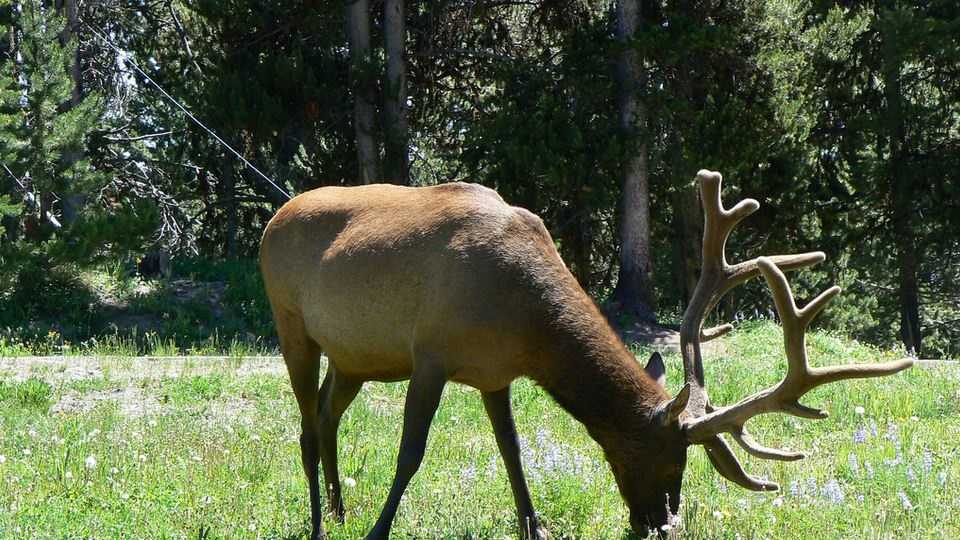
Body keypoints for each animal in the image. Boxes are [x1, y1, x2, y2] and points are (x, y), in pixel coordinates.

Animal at [258, 170, 913, 540]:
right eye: (670, 461)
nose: (660, 524)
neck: (525, 317)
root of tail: (272, 218)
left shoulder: (493, 374)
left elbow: (514, 455)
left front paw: (535, 526)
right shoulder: (432, 354)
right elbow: (411, 454)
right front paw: (379, 530)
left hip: (354, 357)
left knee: (327, 416)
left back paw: (339, 512)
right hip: (291, 325)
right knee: (306, 429)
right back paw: (320, 524)